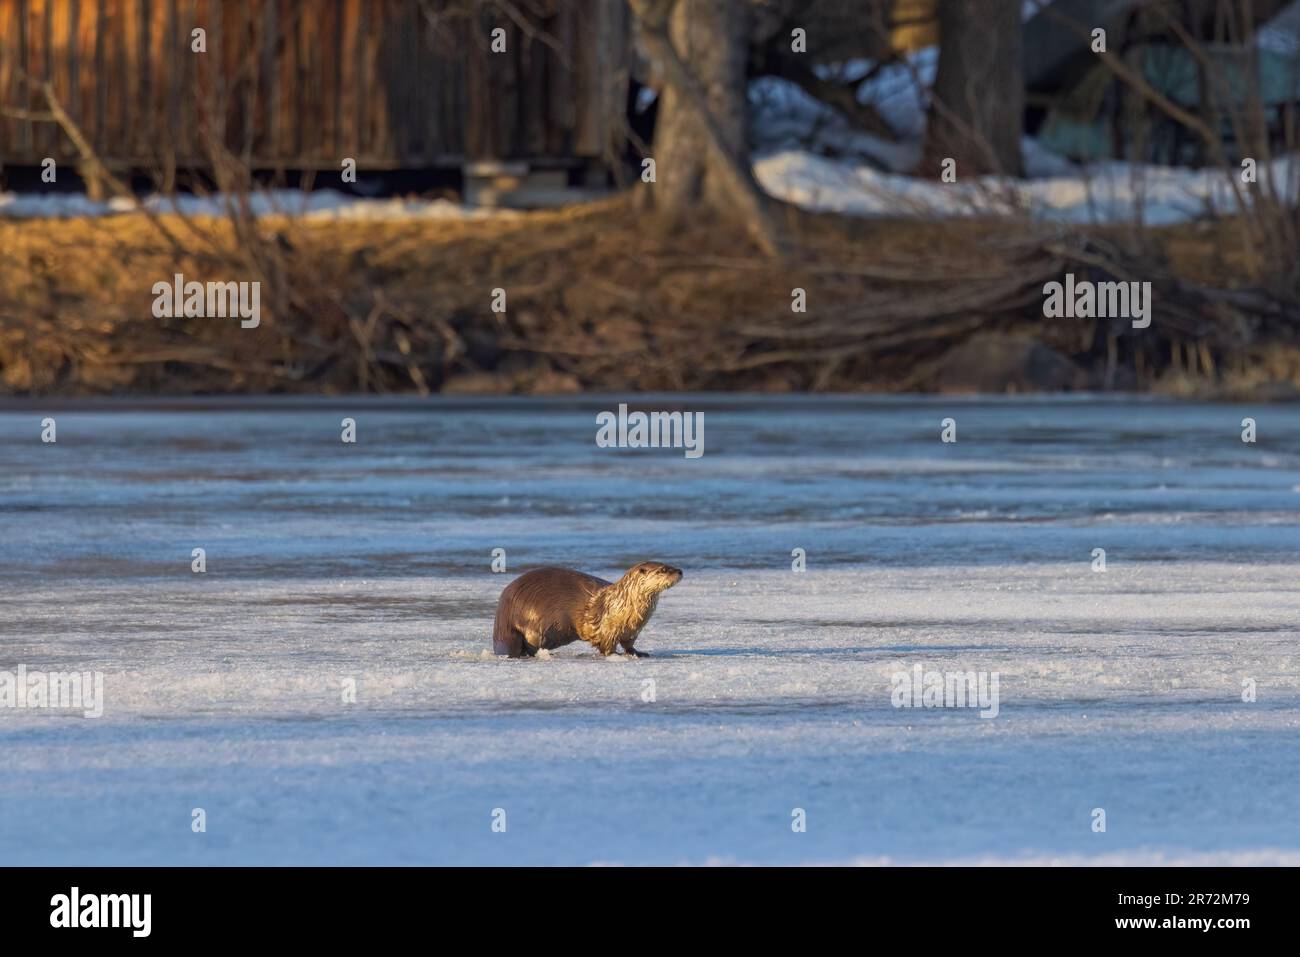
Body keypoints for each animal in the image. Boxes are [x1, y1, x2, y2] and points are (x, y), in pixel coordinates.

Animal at [492, 562, 683, 658]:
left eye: (669, 564)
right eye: (664, 569)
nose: (680, 571)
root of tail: (504, 618)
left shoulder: (631, 631)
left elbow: (629, 645)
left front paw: (638, 652)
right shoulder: (608, 629)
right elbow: (607, 645)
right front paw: (615, 654)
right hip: (534, 624)